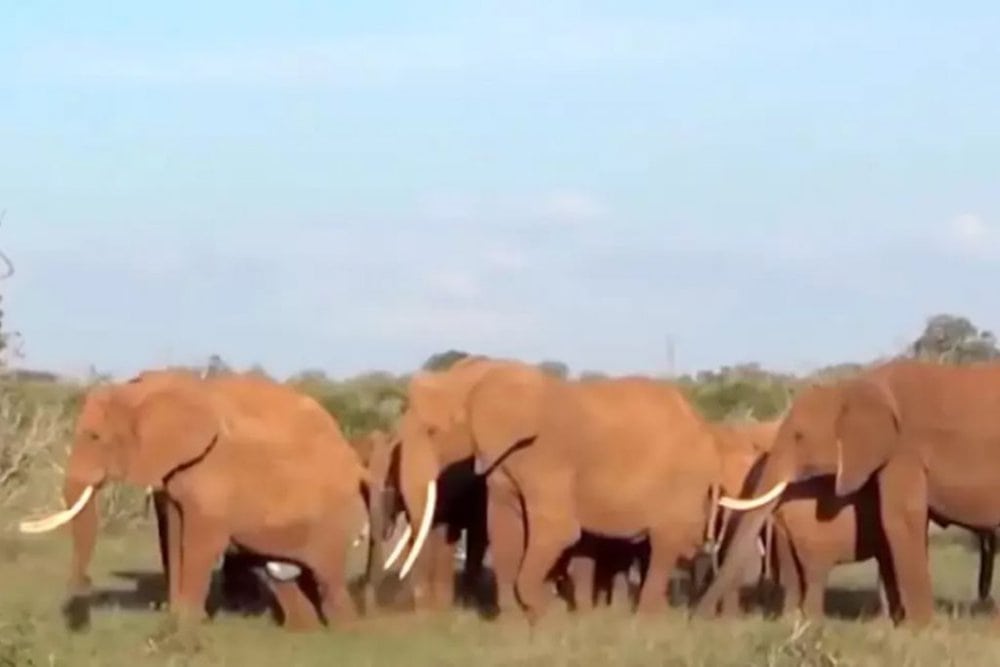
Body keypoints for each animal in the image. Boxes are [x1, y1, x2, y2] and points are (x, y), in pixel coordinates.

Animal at [18, 369, 372, 631]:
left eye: (94, 437)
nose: (85, 585)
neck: (144, 391)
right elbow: (176, 535)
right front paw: (177, 621)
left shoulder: (214, 471)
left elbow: (201, 541)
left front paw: (186, 625)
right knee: (277, 573)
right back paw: (303, 630)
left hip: (333, 514)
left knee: (328, 575)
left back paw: (346, 632)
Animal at [391, 356, 721, 623]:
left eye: (432, 432)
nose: (421, 608)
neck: (483, 375)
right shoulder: (503, 462)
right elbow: (505, 530)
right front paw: (514, 625)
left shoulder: (545, 457)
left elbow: (558, 529)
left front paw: (543, 615)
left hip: (685, 479)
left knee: (664, 543)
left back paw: (644, 622)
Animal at [694, 359, 1000, 626]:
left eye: (799, 436)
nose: (698, 618)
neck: (851, 388)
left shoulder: (904, 451)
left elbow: (900, 520)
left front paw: (919, 629)